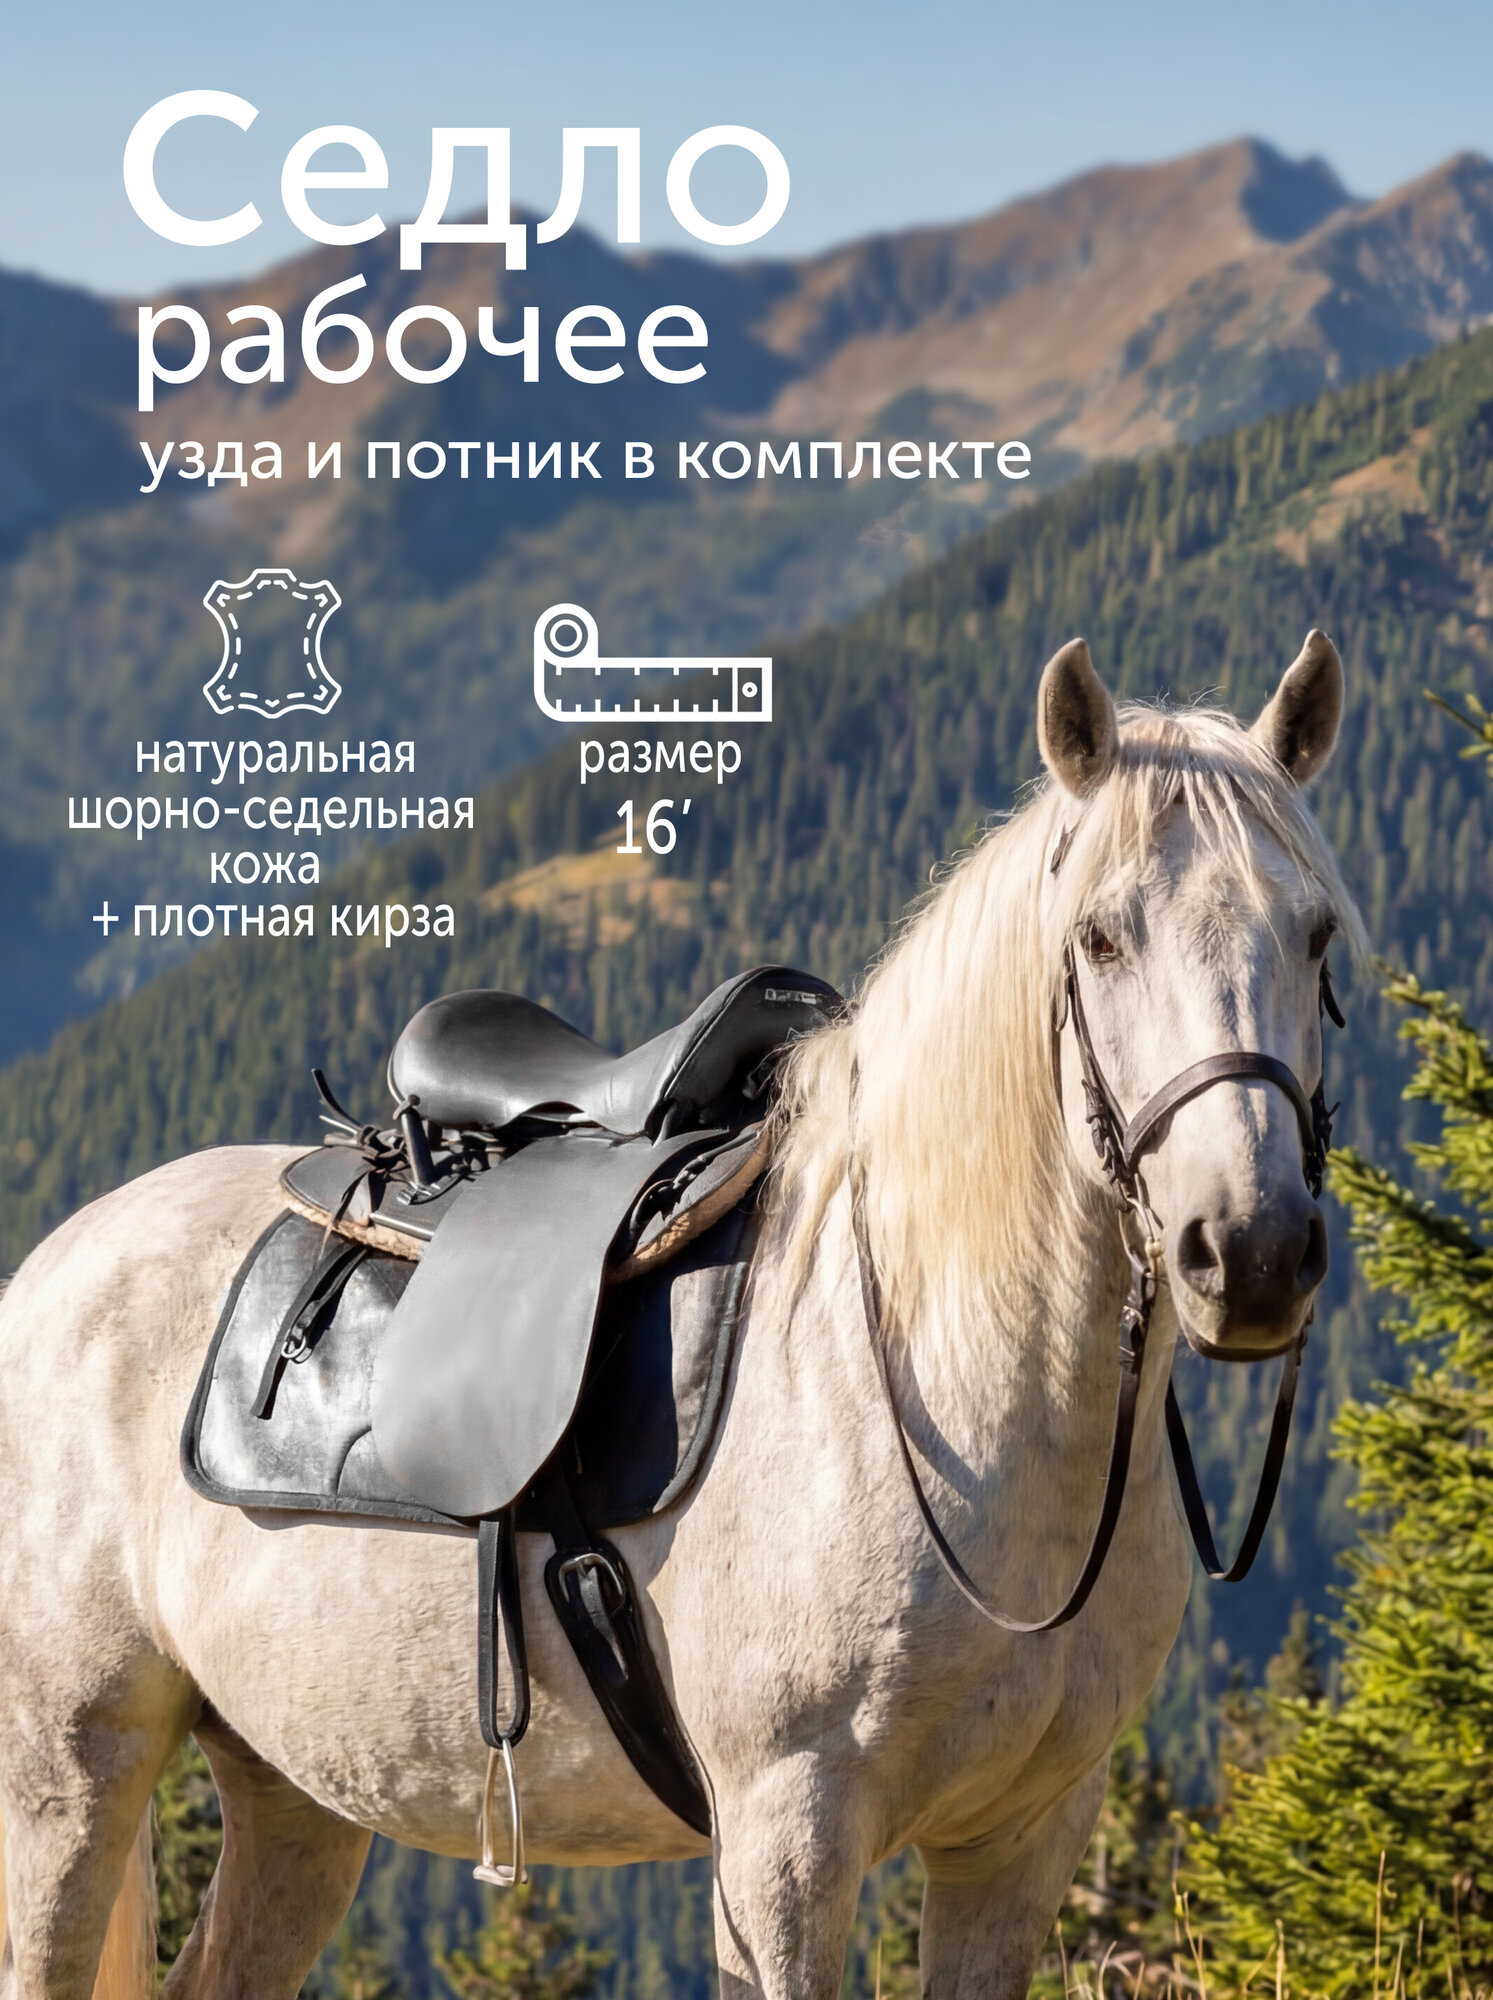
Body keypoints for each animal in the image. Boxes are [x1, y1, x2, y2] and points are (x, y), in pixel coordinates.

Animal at [0, 631, 1362, 2000]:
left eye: (1313, 937)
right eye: (1097, 936)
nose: (1247, 1249)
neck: (946, 1384)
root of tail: (45, 1268)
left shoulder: (1022, 1838)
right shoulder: (785, 1835)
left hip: (296, 1787)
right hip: (69, 1773)